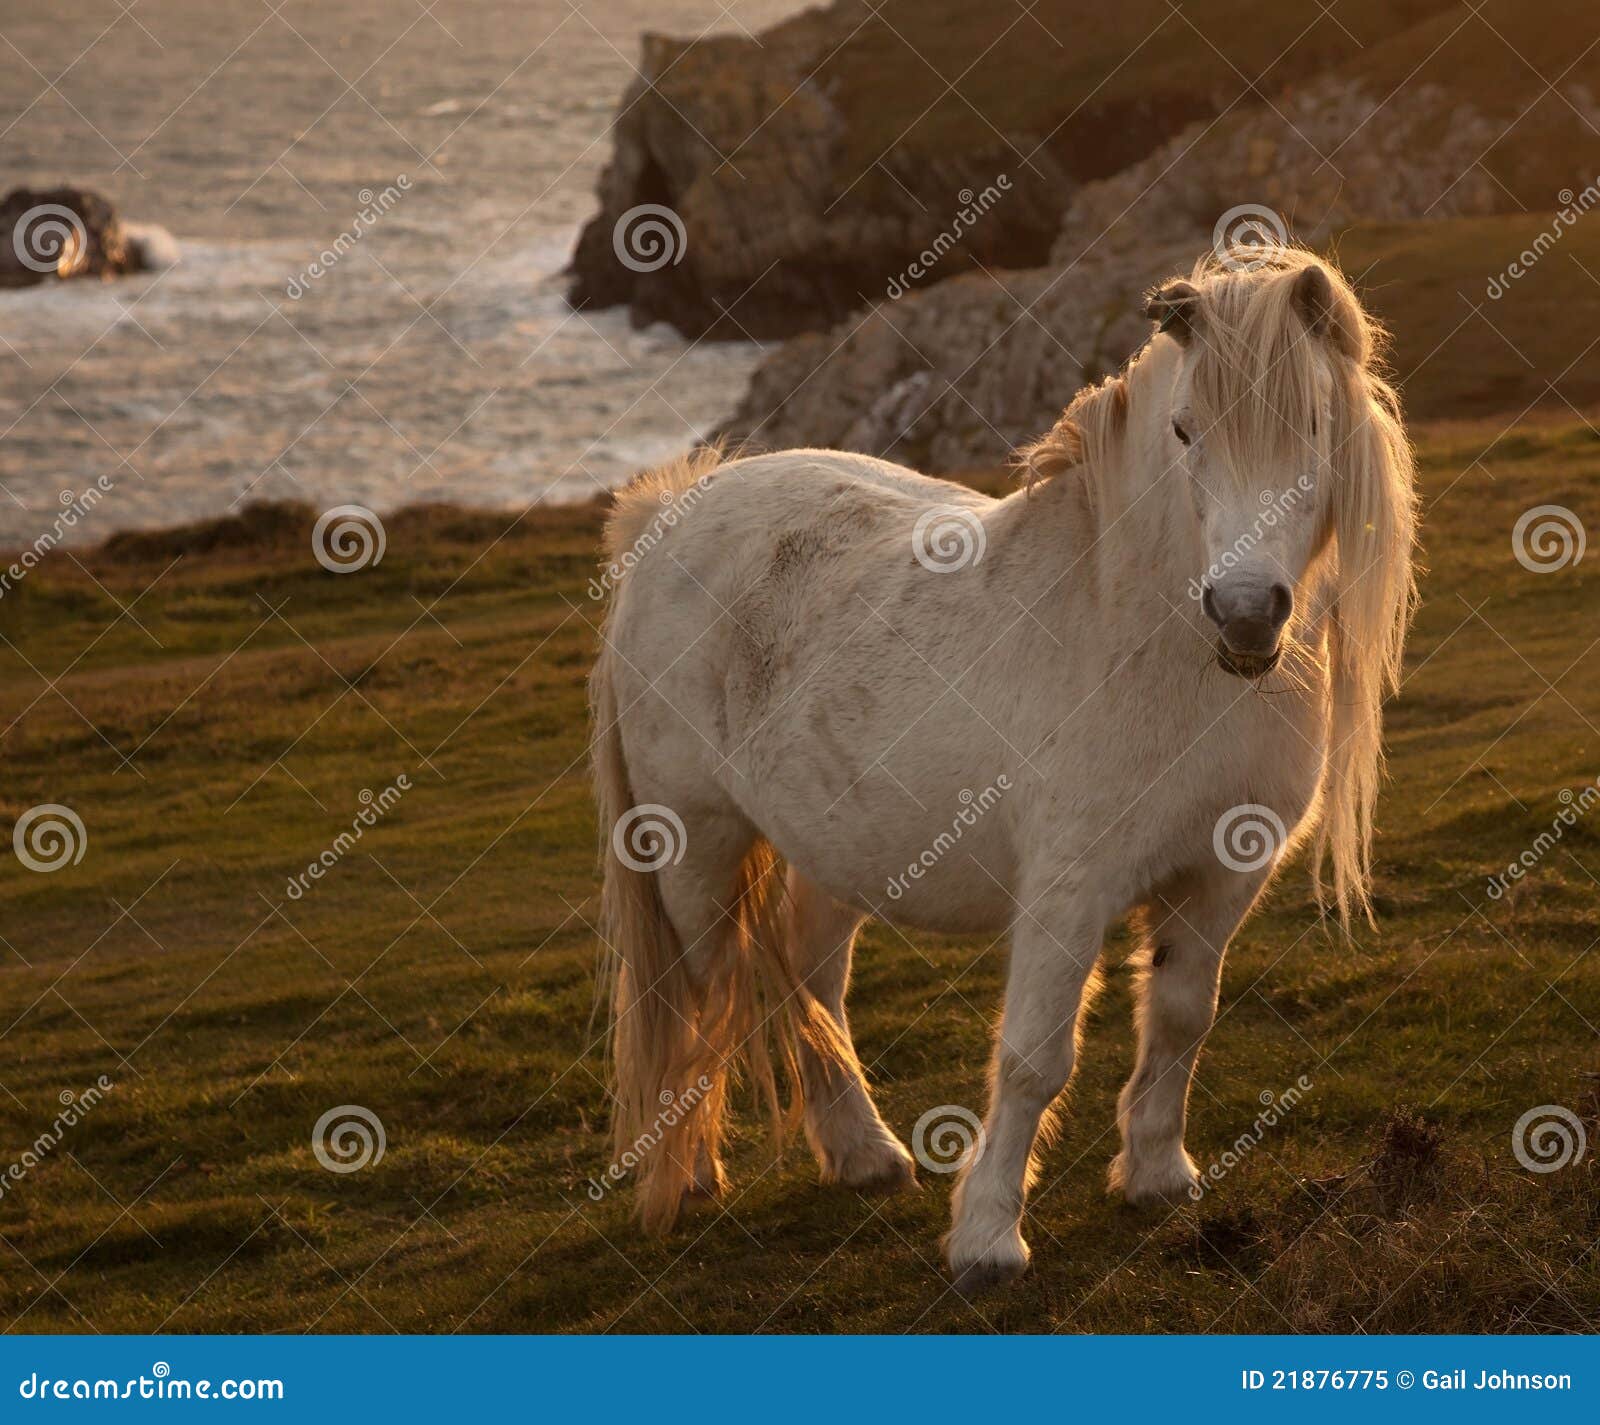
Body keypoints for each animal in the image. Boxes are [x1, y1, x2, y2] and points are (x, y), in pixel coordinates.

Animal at [588, 244, 1417, 1293]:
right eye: (1185, 429)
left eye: (1314, 421)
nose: (1242, 613)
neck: (1143, 640)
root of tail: (669, 511)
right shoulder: (1067, 888)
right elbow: (1033, 1058)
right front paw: (986, 1237)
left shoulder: (1221, 876)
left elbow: (1181, 1017)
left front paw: (1157, 1174)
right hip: (692, 850)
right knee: (704, 993)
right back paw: (691, 1173)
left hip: (832, 847)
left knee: (808, 979)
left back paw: (863, 1153)